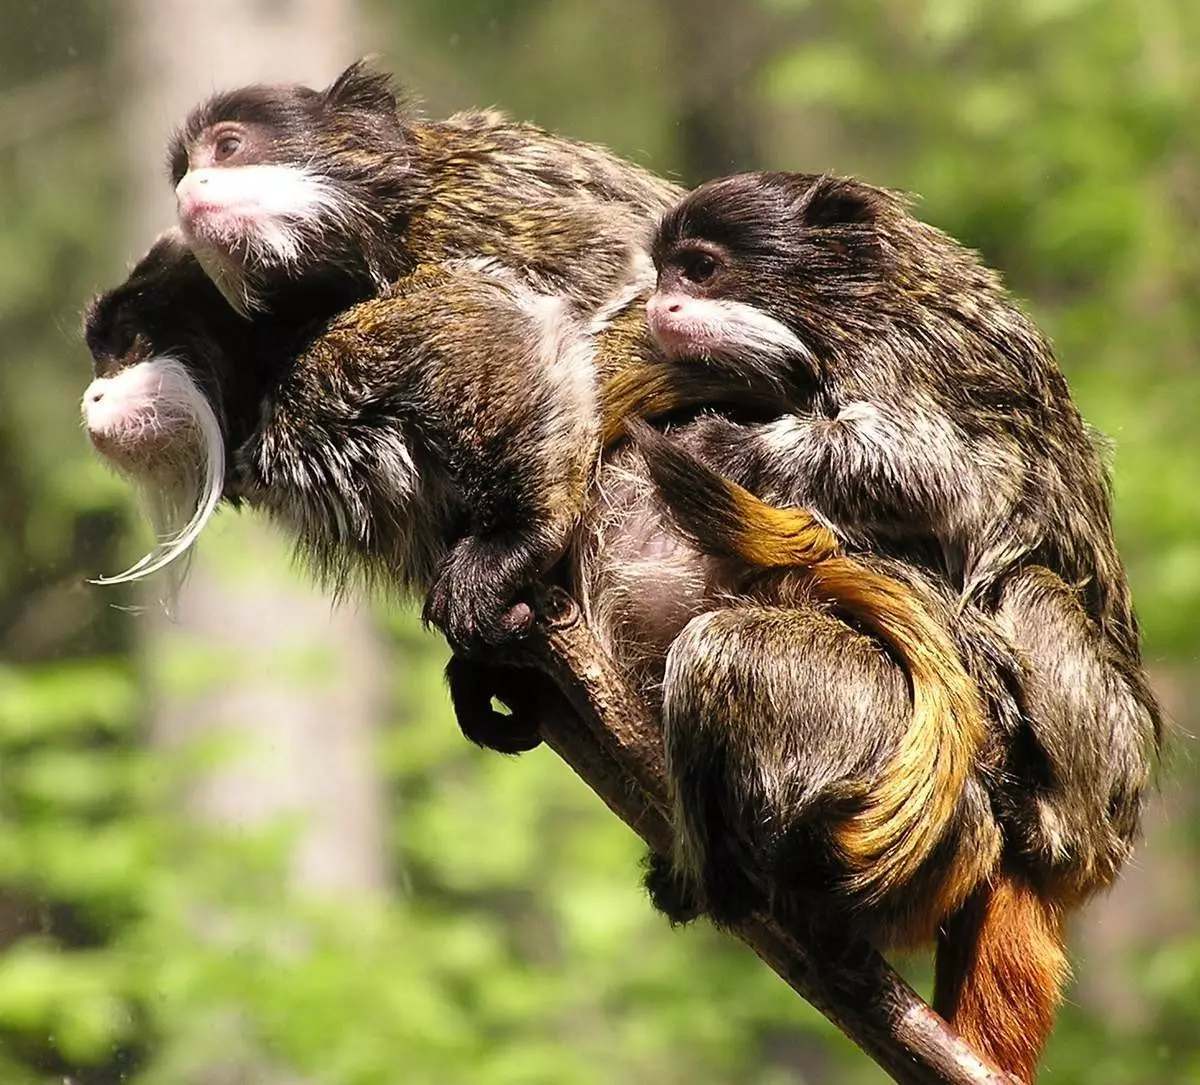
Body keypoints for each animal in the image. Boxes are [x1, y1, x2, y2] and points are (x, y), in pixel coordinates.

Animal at [638, 169, 1161, 1075]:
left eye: (700, 270)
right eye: (665, 271)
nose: (661, 306)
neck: (851, 311)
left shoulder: (904, 359)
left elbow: (940, 472)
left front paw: (732, 446)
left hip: (1111, 757)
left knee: (1030, 589)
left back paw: (1047, 818)